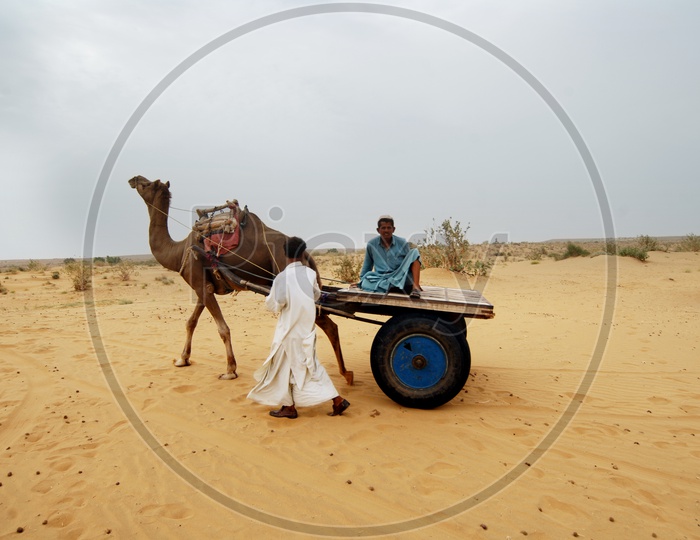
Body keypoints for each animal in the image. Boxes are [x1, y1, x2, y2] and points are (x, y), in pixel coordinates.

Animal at [128, 175, 352, 384]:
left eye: (147, 184)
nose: (134, 179)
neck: (179, 251)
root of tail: (306, 254)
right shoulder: (204, 286)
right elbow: (191, 322)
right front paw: (182, 359)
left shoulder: (200, 283)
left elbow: (222, 329)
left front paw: (229, 370)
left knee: (328, 326)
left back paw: (344, 374)